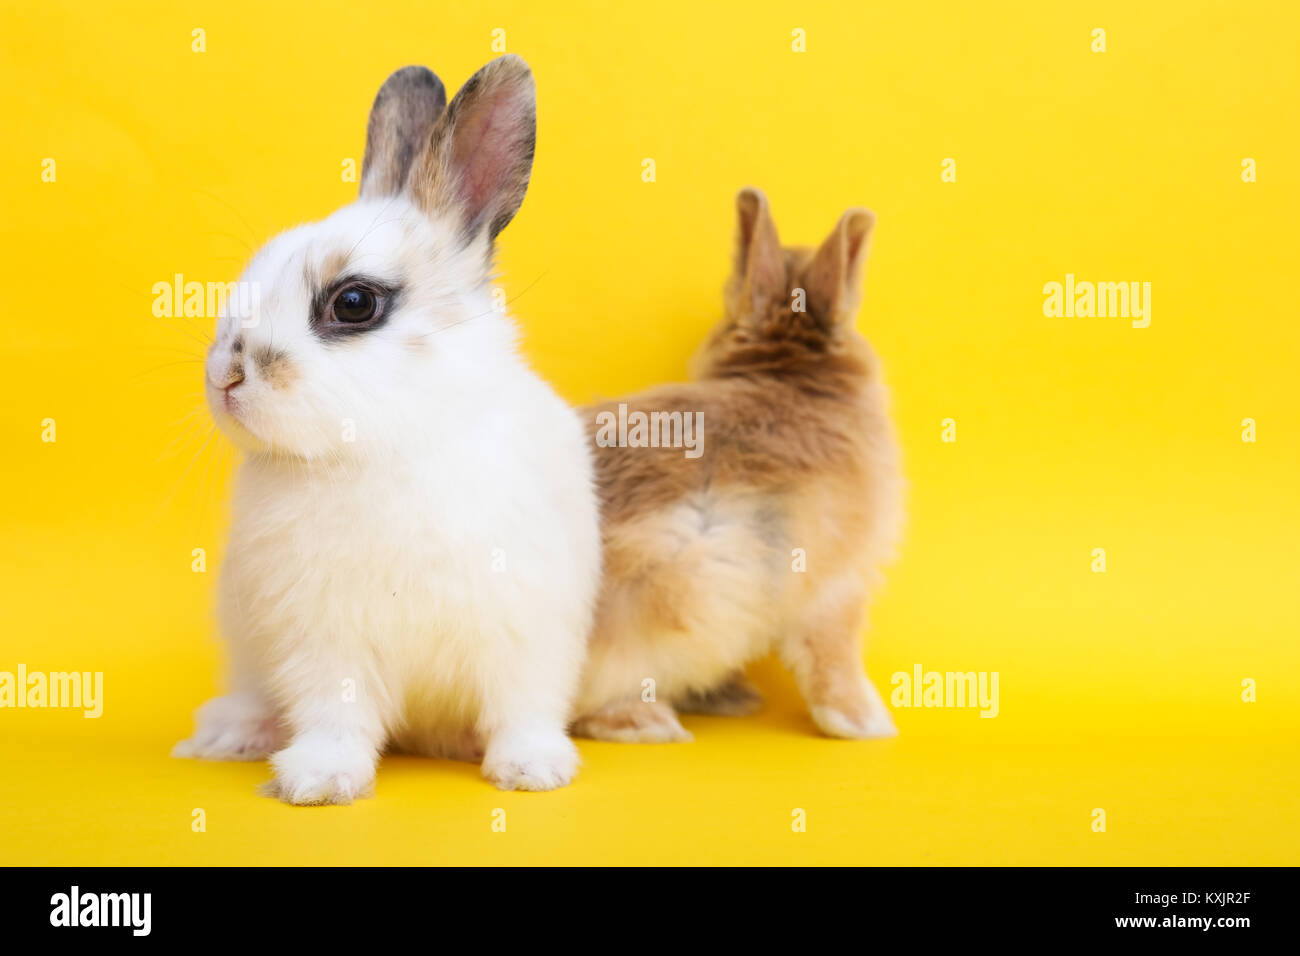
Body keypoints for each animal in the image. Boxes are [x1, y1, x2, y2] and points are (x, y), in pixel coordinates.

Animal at [173, 56, 602, 802]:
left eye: (353, 302)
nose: (225, 374)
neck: (388, 441)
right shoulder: (321, 639)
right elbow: (333, 712)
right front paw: (319, 780)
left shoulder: (528, 629)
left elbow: (523, 704)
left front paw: (532, 770)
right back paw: (229, 735)